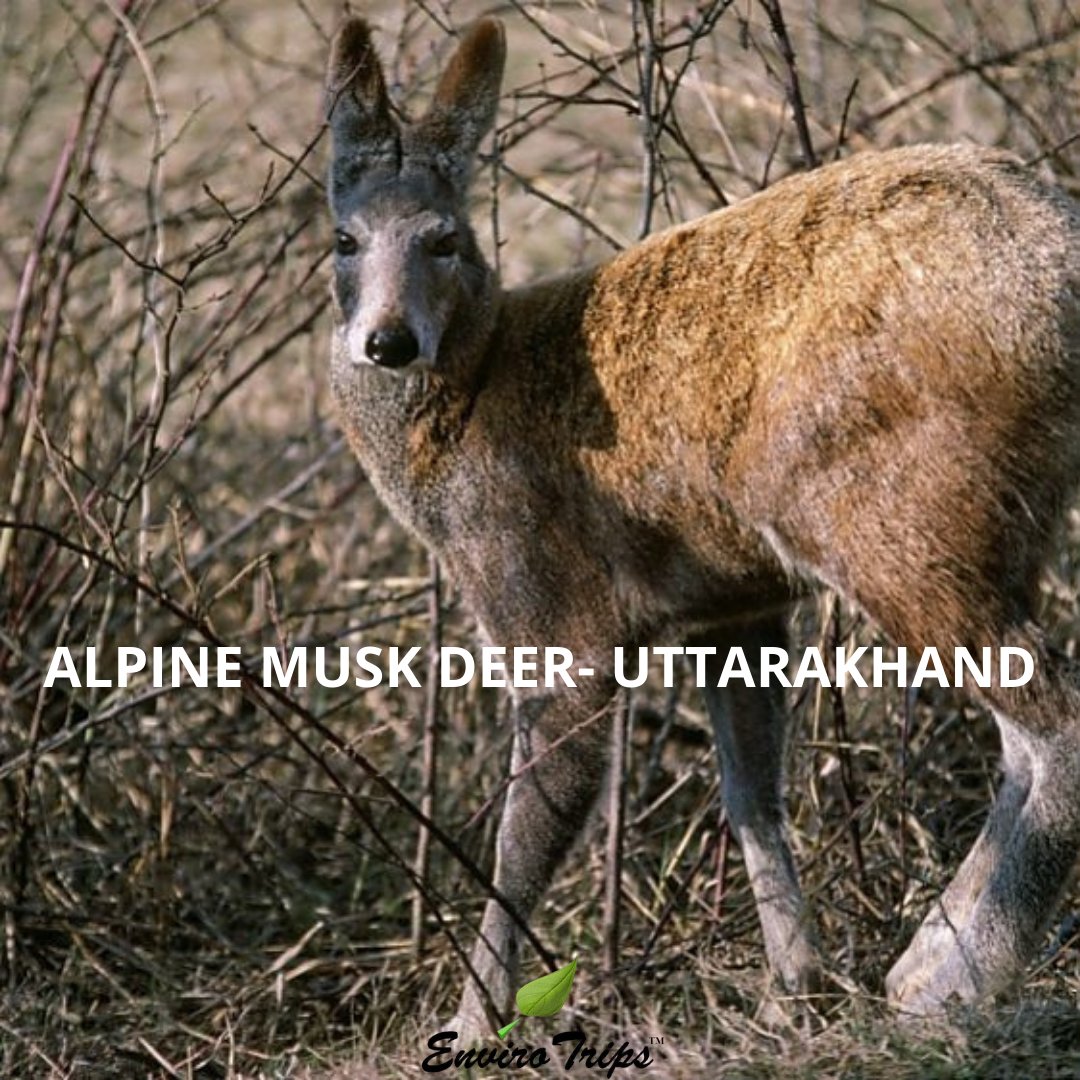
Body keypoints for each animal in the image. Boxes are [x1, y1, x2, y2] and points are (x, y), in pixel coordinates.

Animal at [323, 15, 1080, 1040]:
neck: (464, 410)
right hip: (994, 524)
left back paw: (944, 976)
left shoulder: (555, 617)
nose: (389, 341)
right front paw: (794, 987)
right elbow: (752, 790)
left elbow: (524, 841)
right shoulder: (732, 607)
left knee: (1051, 724)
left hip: (899, 514)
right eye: (344, 238)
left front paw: (472, 1028)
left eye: (444, 239)